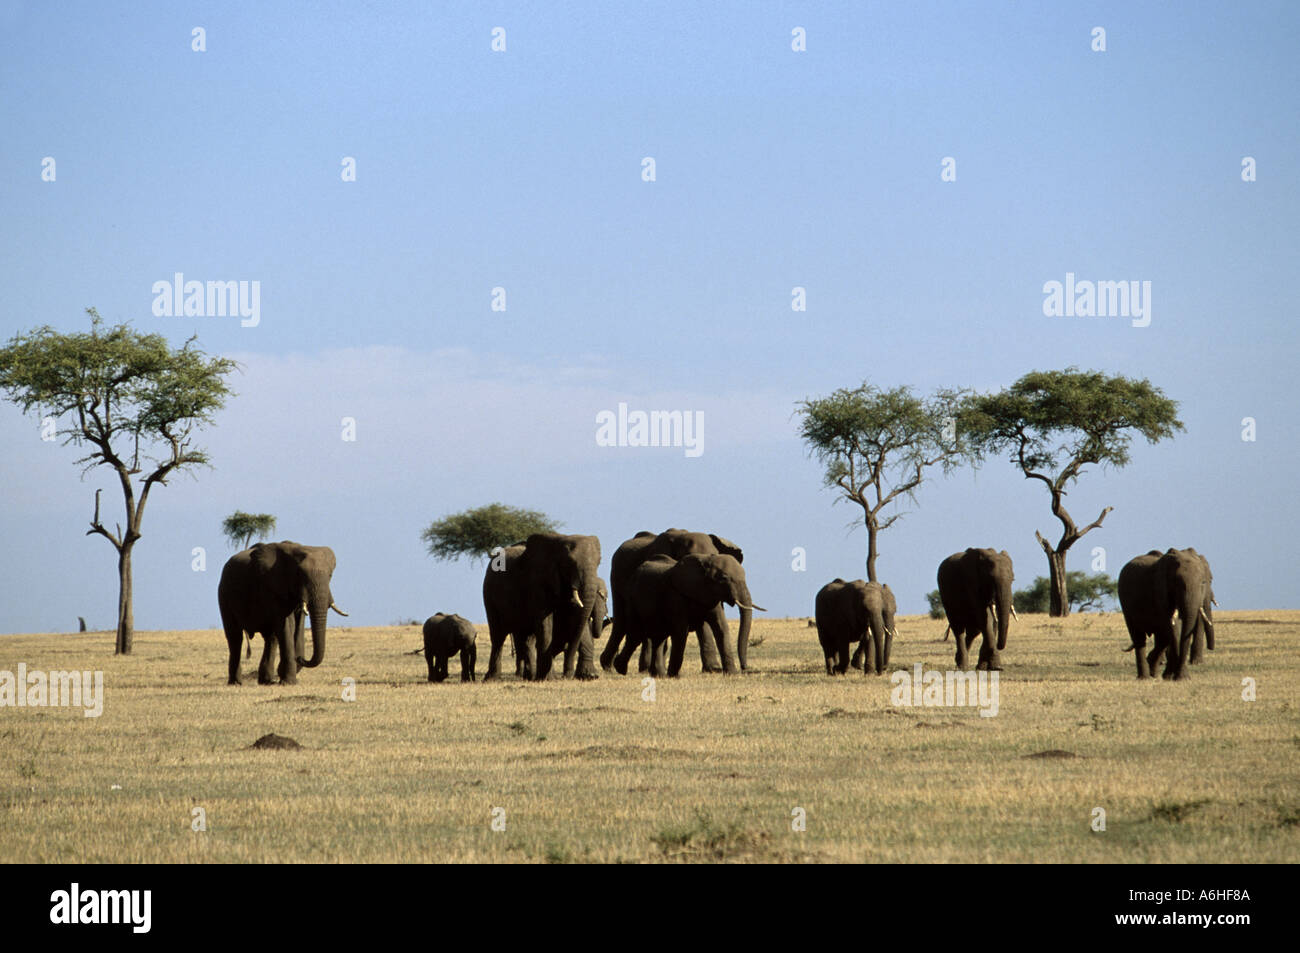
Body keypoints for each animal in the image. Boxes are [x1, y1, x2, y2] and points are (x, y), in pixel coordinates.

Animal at [217, 541, 346, 685]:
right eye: (301, 575)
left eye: (330, 576)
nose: (300, 658)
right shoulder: (273, 588)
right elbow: (286, 625)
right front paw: (289, 682)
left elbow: (298, 623)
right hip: (224, 595)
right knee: (235, 637)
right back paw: (236, 683)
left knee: (270, 638)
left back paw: (266, 681)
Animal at [482, 533, 602, 681]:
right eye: (569, 563)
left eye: (599, 562)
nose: (566, 676)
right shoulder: (537, 584)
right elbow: (545, 623)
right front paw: (548, 678)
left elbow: (578, 618)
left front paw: (590, 676)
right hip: (489, 594)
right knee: (498, 636)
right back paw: (492, 678)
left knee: (526, 638)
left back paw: (530, 676)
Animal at [602, 529, 751, 673]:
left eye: (714, 555)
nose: (745, 667)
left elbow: (714, 623)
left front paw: (713, 670)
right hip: (617, 578)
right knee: (623, 622)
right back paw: (614, 667)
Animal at [619, 553, 762, 677]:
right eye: (724, 578)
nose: (745, 667)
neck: (706, 561)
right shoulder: (675, 596)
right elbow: (681, 631)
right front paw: (674, 676)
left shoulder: (711, 597)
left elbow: (721, 628)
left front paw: (731, 673)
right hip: (631, 599)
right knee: (635, 636)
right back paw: (620, 669)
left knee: (658, 638)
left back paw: (658, 674)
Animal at [1117, 548, 1215, 680]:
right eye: (1178, 584)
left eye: (1203, 582)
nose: (1211, 648)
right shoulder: (1160, 589)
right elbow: (1174, 628)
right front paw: (1180, 678)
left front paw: (1173, 677)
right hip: (1125, 604)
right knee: (1139, 637)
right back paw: (1145, 677)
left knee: (1162, 638)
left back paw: (1153, 671)